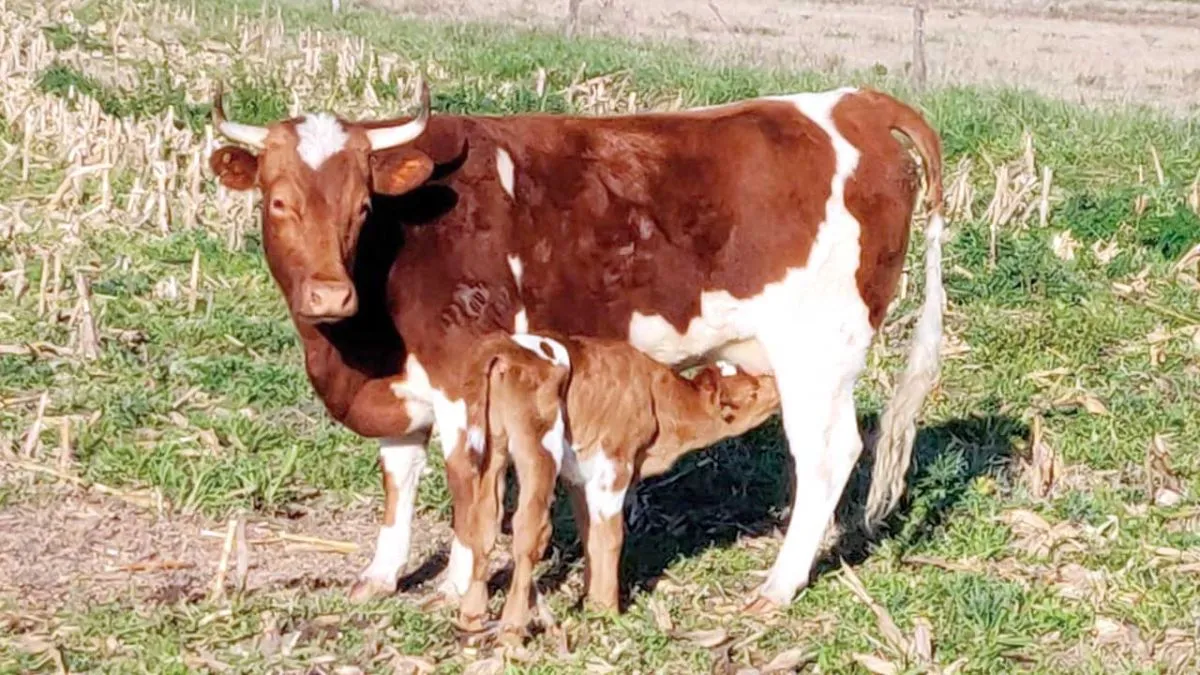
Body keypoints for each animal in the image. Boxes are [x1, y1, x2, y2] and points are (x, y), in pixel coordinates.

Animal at [444, 331, 782, 636]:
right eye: (752, 391)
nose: (777, 383)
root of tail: (505, 346)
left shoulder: (580, 475)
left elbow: (590, 534)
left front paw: (593, 602)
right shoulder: (614, 464)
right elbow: (611, 536)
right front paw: (607, 610)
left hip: (492, 446)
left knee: (483, 521)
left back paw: (471, 617)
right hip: (538, 447)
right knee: (530, 529)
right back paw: (512, 633)